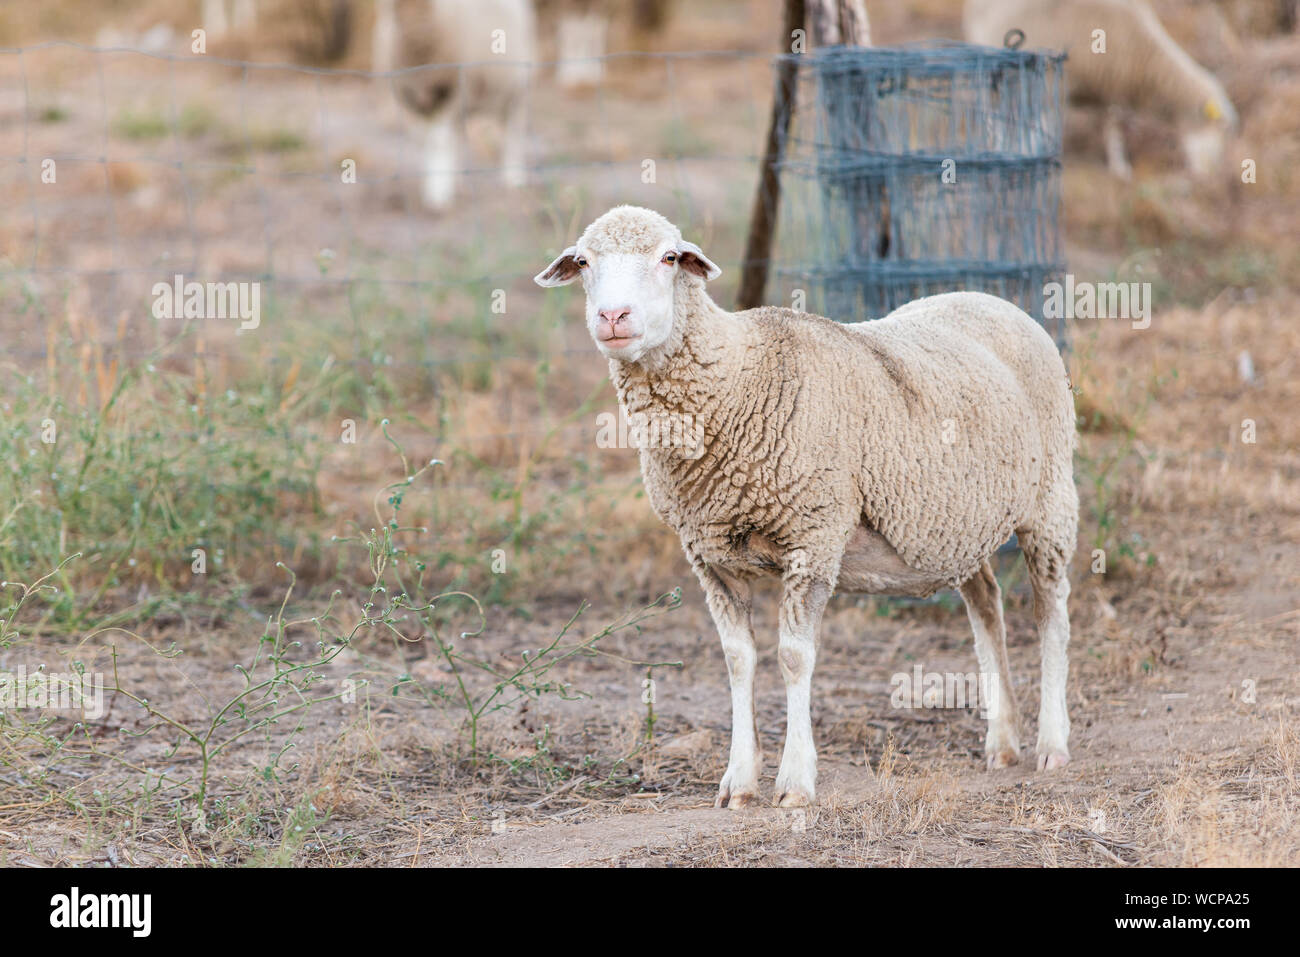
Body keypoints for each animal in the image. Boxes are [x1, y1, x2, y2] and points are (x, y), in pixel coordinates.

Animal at [374, 0, 535, 209]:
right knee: (457, 137)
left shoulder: (454, 91)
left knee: (514, 130)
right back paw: (459, 183)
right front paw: (438, 185)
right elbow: (425, 141)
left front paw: (438, 196)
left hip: (518, 90)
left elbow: (438, 142)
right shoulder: (411, 98)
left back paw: (513, 178)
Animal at [534, 206, 1079, 807]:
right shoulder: (709, 556)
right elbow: (738, 659)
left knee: (1051, 614)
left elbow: (794, 657)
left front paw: (795, 781)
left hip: (1050, 497)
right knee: (987, 607)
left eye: (669, 258)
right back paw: (1002, 742)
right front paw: (739, 780)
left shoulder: (812, 535)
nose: (612, 315)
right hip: (954, 523)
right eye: (584, 262)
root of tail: (988, 297)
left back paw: (1052, 744)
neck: (736, 377)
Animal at [963, 0, 1239, 179]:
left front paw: (1119, 167)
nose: (1209, 175)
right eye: (1220, 130)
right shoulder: (1062, 82)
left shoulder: (1112, 90)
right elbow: (1050, 121)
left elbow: (1111, 128)